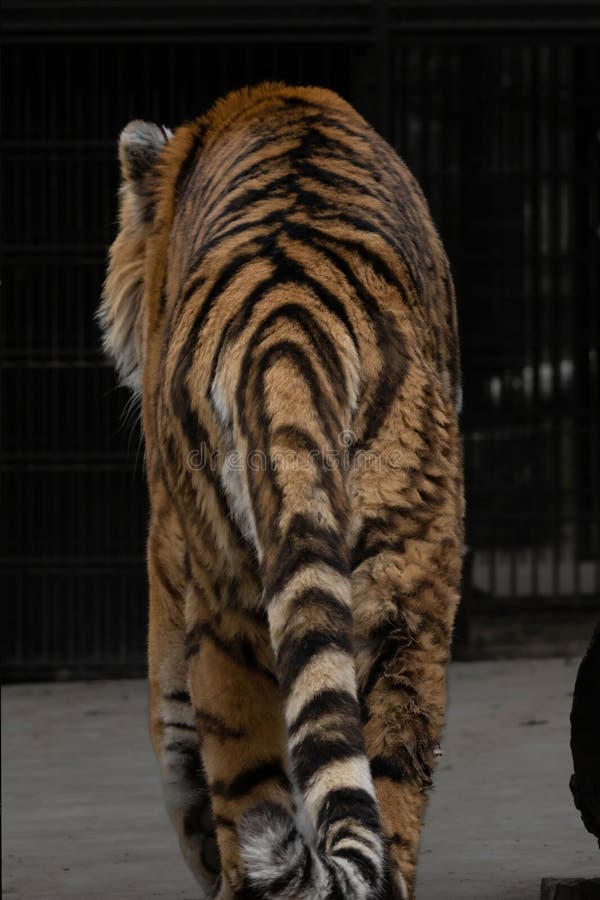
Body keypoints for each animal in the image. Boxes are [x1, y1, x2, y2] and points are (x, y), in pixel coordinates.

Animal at [99, 82, 464, 900]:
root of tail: (288, 330)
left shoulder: (166, 549)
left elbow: (175, 738)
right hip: (408, 586)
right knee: (391, 788)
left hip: (225, 596)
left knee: (241, 782)